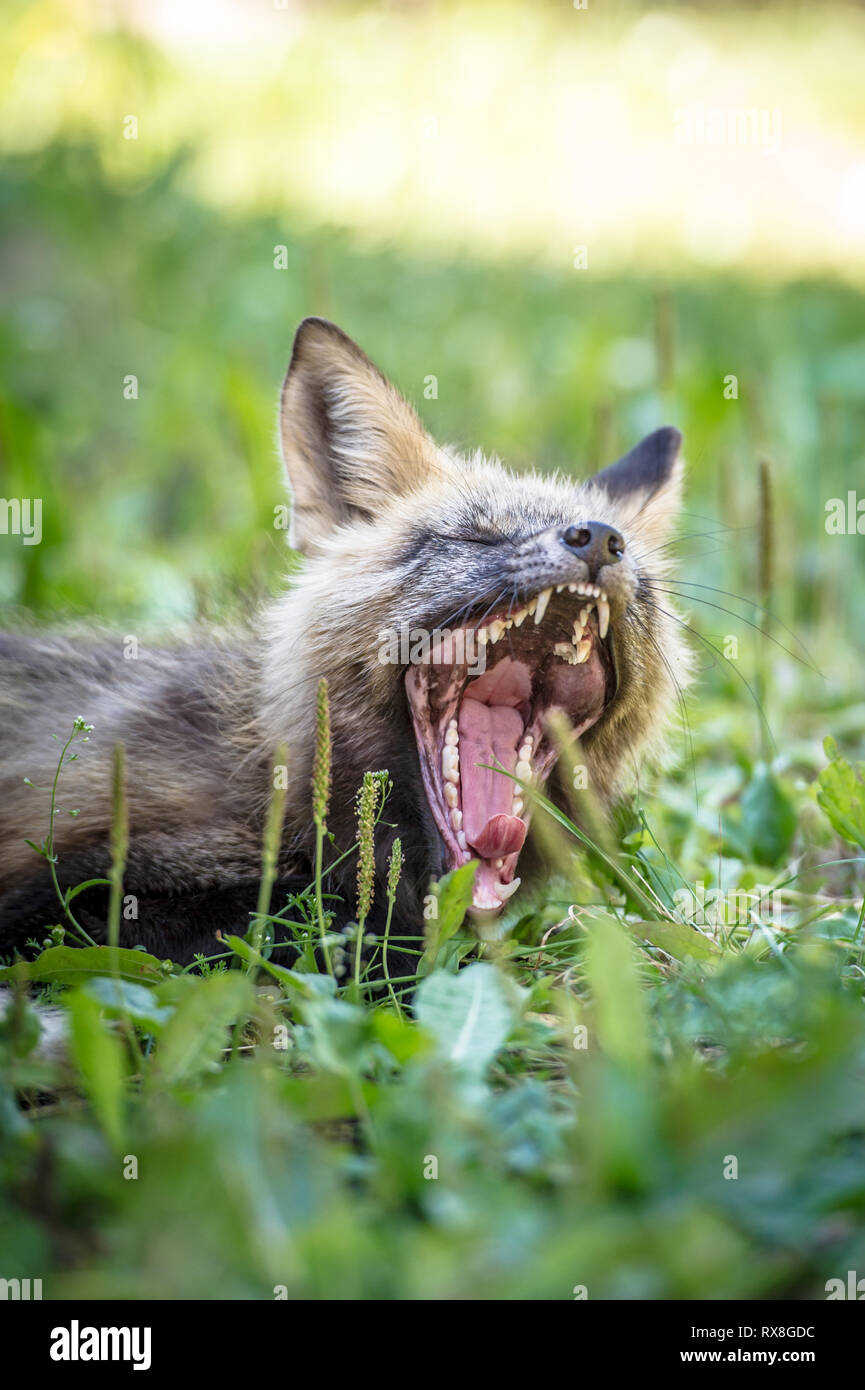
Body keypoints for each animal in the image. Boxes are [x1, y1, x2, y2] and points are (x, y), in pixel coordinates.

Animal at [0, 317, 691, 967]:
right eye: (477, 537)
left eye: (644, 580)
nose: (599, 539)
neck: (265, 763)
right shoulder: (63, 890)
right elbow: (329, 920)